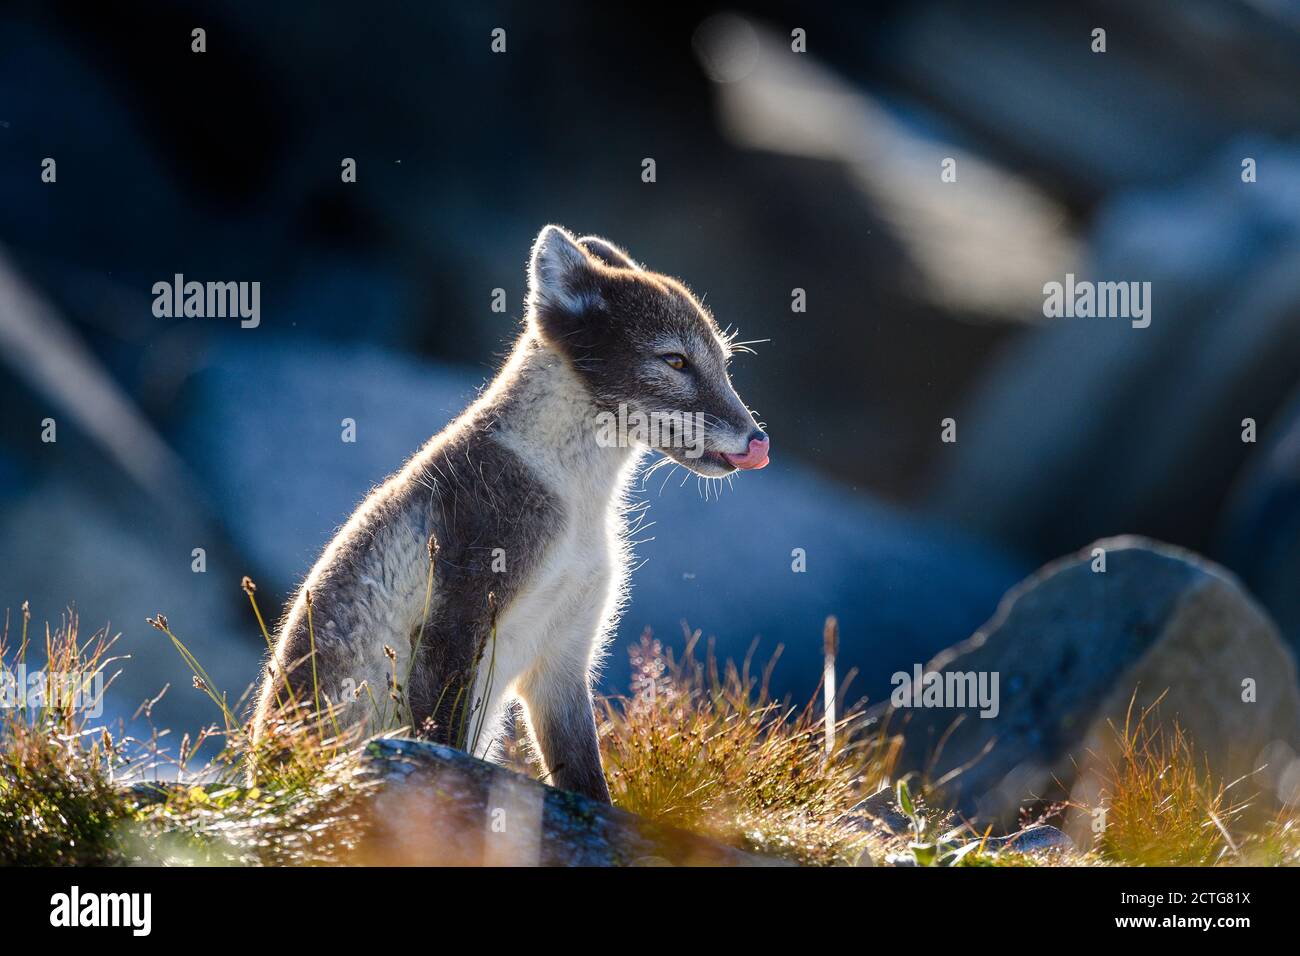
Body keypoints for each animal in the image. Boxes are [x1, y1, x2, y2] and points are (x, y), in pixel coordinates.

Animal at [250, 225, 770, 802]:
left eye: (723, 363)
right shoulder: (458, 616)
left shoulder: (564, 655)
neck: (576, 503)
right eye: (676, 360)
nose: (758, 439)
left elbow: (585, 777)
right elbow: (442, 735)